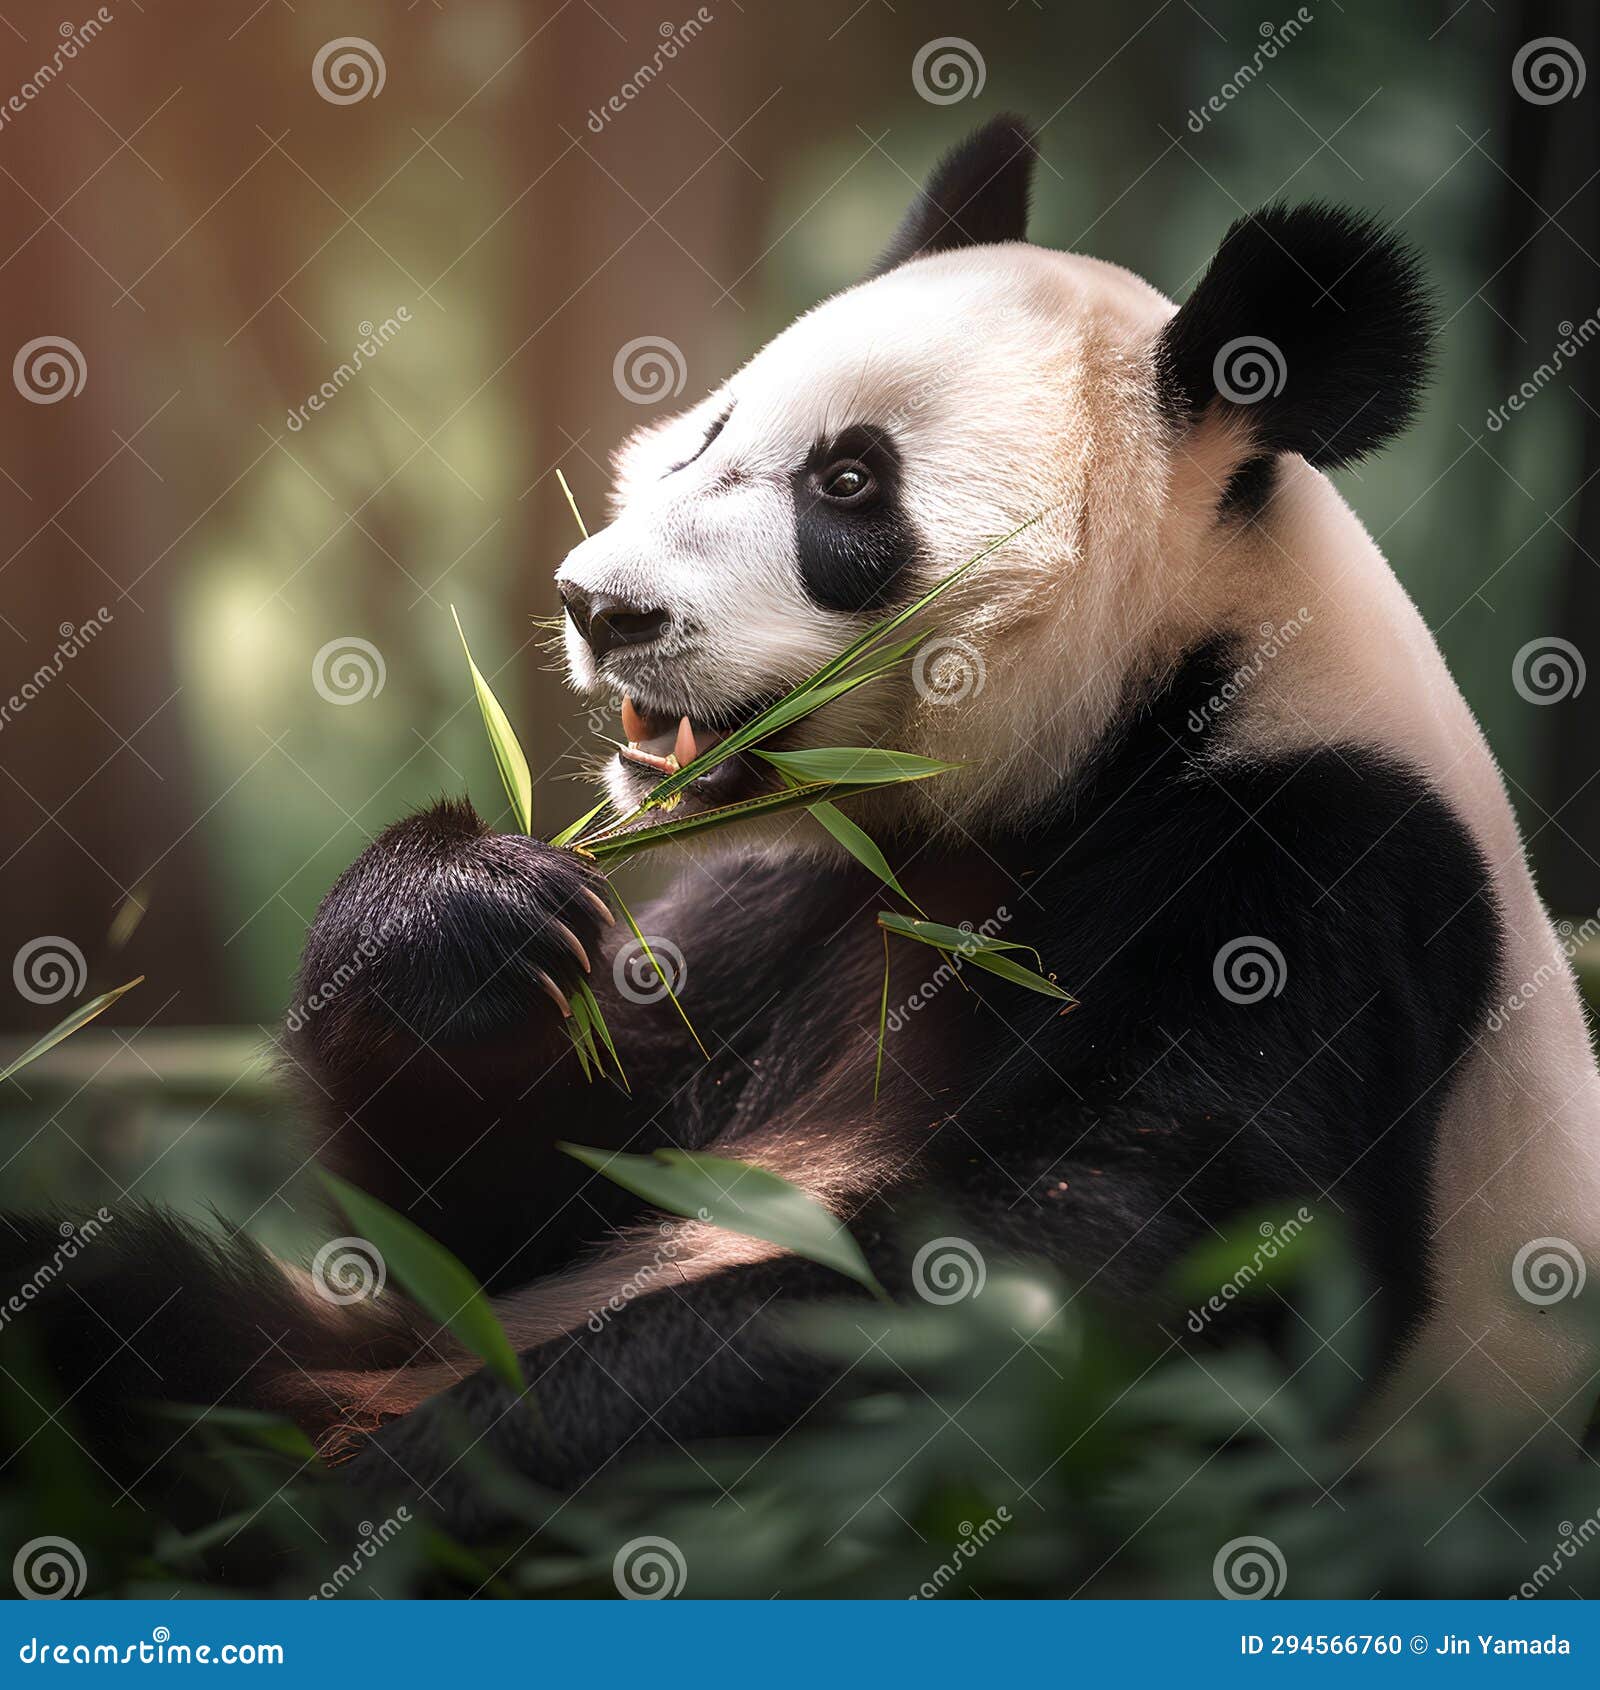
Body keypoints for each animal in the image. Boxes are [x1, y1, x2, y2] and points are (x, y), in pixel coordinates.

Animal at [8, 115, 1599, 1532]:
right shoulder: (804, 892)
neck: (1154, 716)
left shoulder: (1312, 875)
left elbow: (1128, 1286)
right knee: (120, 1319)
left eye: (847, 483)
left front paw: (447, 1471)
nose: (600, 604)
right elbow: (518, 1205)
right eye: (709, 431)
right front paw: (458, 915)